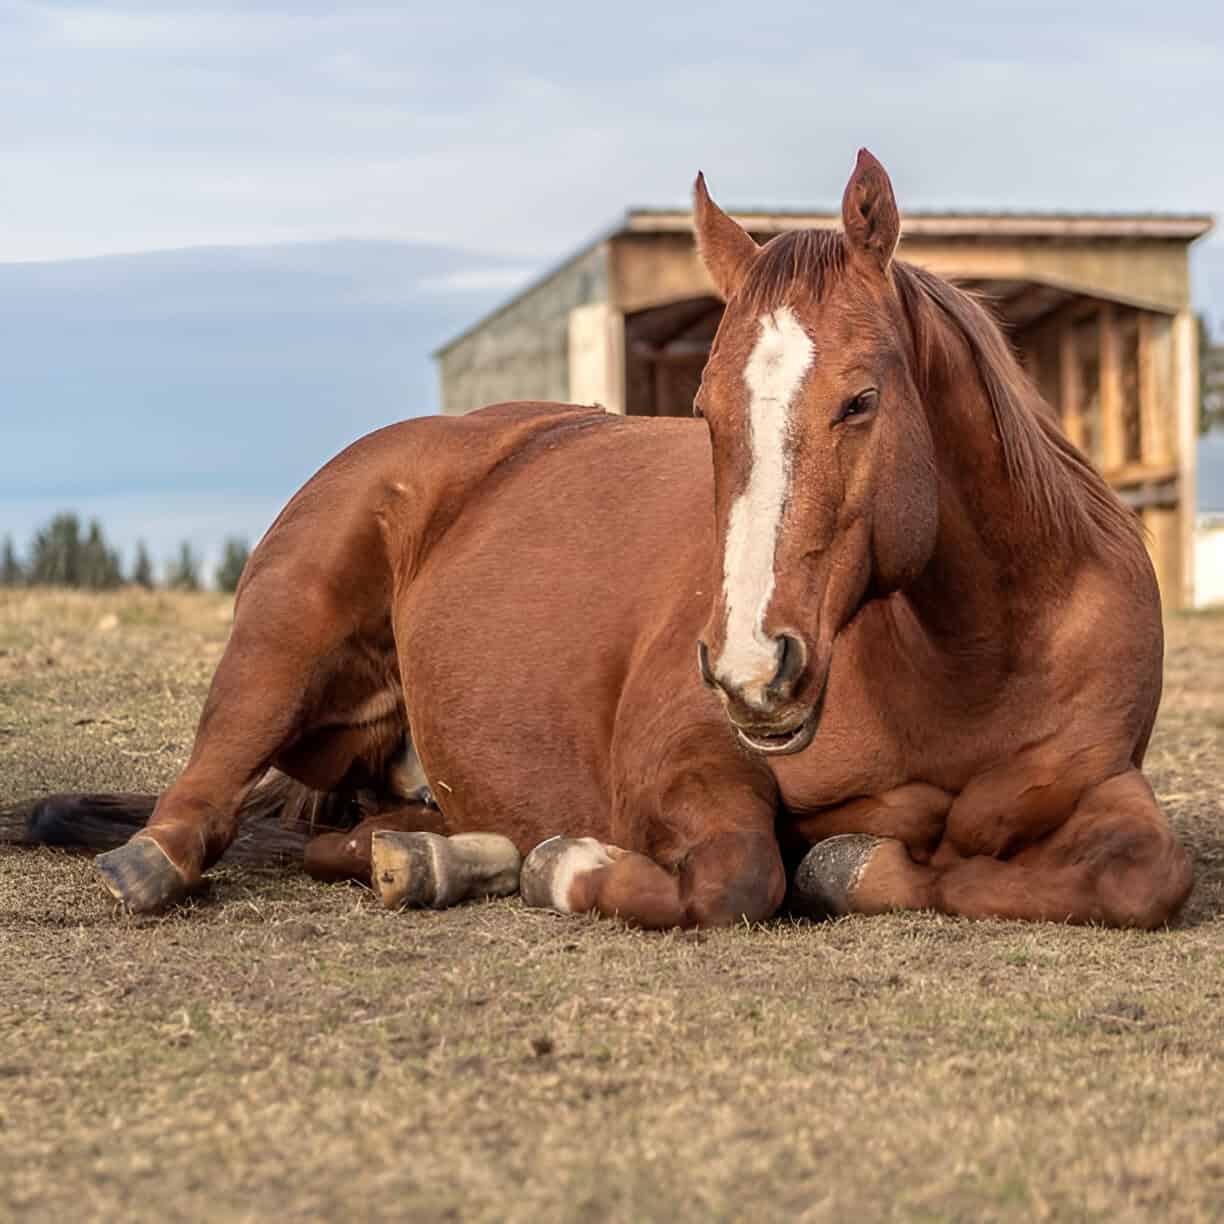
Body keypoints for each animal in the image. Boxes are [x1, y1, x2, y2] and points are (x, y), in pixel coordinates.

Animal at [3, 149, 1193, 930]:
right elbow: (740, 877)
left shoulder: (1104, 789)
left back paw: (436, 857)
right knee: (205, 787)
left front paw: (856, 865)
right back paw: (163, 862)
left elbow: (1146, 876)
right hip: (282, 638)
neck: (971, 657)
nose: (755, 670)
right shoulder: (679, 759)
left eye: (860, 401)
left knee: (344, 835)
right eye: (706, 413)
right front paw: (566, 868)